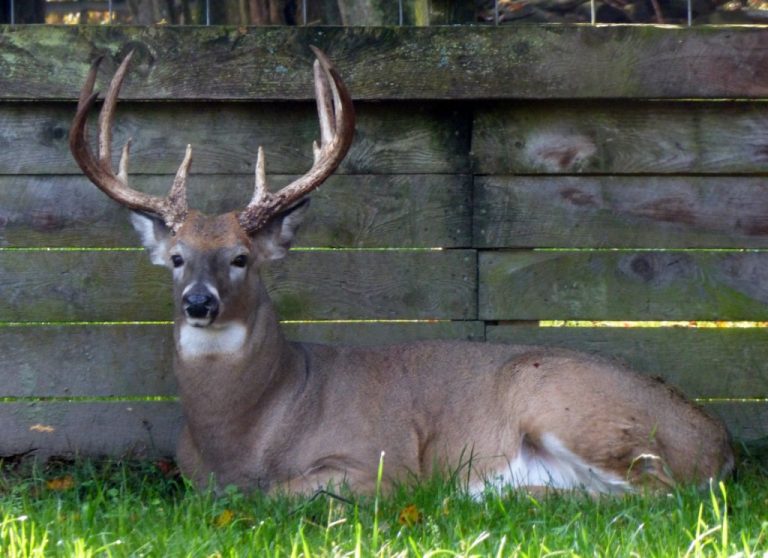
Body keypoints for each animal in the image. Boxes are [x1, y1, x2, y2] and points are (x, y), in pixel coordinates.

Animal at [69, 48, 734, 496]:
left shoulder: (375, 461)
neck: (252, 430)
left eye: (241, 257)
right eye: (176, 257)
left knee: (658, 493)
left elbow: (279, 495)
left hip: (570, 403)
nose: (199, 303)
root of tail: (720, 446)